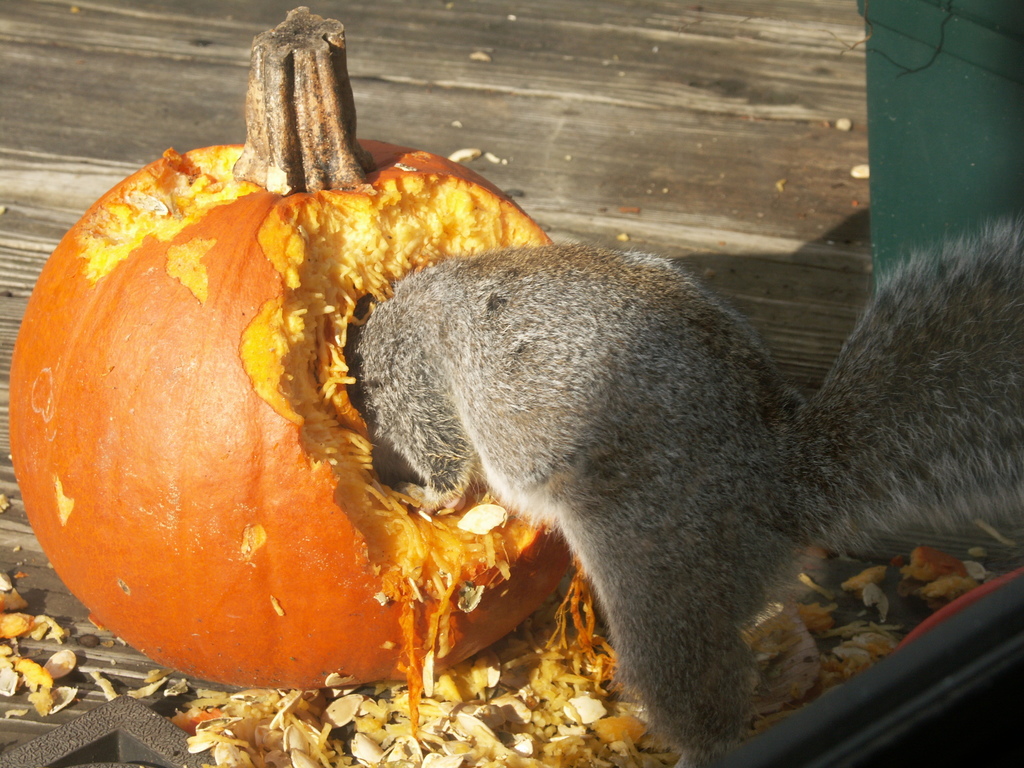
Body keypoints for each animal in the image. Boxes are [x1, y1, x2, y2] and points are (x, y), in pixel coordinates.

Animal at [349, 220, 1024, 766]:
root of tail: (783, 483)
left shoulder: (411, 368)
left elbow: (445, 456)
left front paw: (423, 495)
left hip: (665, 578)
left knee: (700, 692)